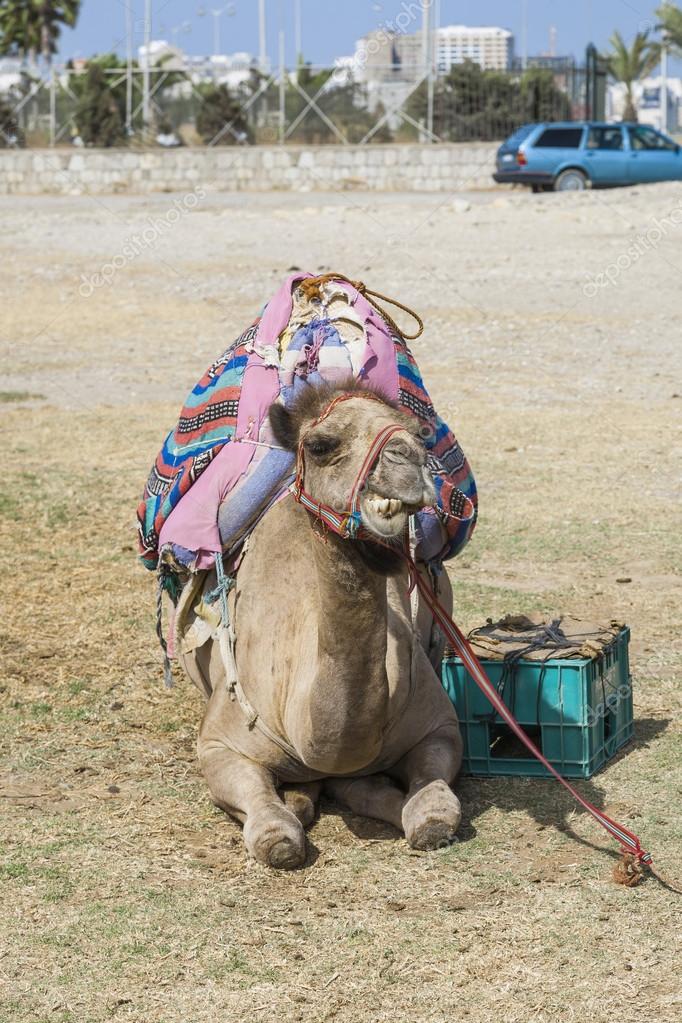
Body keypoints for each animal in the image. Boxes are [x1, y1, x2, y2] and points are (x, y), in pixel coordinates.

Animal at [177, 379, 463, 869]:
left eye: (421, 435)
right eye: (321, 445)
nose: (406, 460)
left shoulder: (439, 726)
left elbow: (431, 806)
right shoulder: (219, 741)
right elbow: (273, 834)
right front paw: (284, 822)